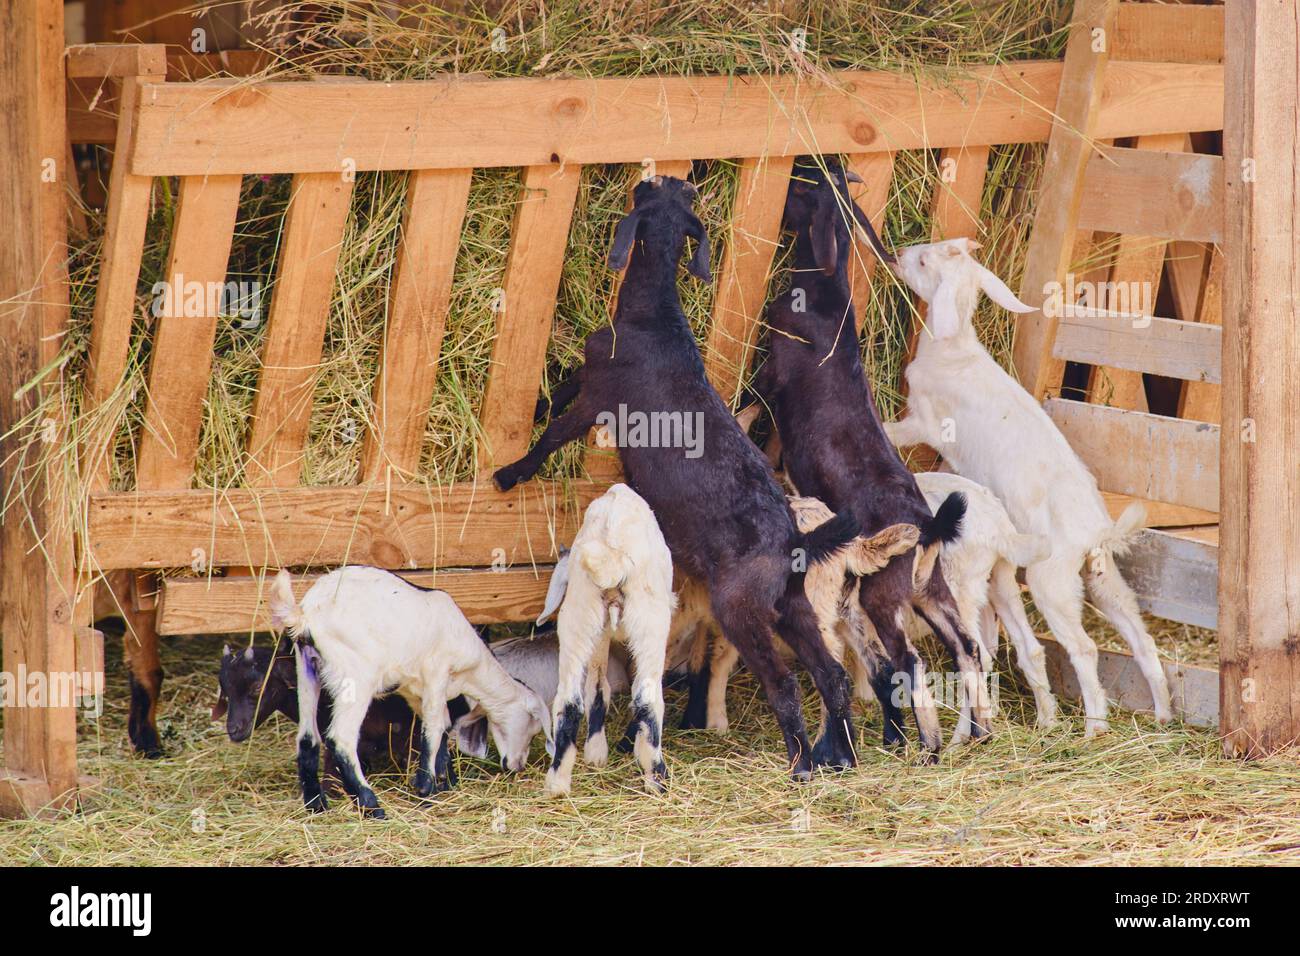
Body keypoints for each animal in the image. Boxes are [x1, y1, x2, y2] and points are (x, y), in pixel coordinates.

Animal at [269, 566, 552, 818]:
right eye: (533, 727)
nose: (518, 766)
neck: (471, 668)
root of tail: (305, 616)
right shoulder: (437, 672)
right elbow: (433, 731)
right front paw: (426, 790)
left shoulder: (413, 690)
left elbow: (441, 726)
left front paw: (445, 781)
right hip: (356, 676)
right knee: (341, 738)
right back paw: (371, 805)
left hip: (306, 670)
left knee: (307, 738)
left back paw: (316, 806)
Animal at [494, 175, 866, 780]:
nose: (644, 180)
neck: (655, 316)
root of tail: (797, 542)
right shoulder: (592, 372)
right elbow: (563, 391)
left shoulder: (602, 397)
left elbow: (554, 434)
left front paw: (509, 473)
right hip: (790, 604)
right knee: (830, 674)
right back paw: (843, 756)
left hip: (741, 608)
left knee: (785, 681)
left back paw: (800, 763)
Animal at [744, 157, 991, 754]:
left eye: (803, 186)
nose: (788, 181)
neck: (823, 295)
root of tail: (928, 528)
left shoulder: (770, 374)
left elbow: (747, 407)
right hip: (930, 589)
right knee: (966, 646)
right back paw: (975, 733)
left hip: (884, 597)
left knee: (910, 659)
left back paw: (928, 743)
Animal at [885, 237, 1173, 734]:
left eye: (923, 261)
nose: (899, 253)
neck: (955, 351)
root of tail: (1097, 532)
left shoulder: (923, 421)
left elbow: (893, 432)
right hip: (1102, 580)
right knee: (1140, 637)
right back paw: (1161, 715)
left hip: (1050, 582)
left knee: (1084, 647)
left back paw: (1094, 727)